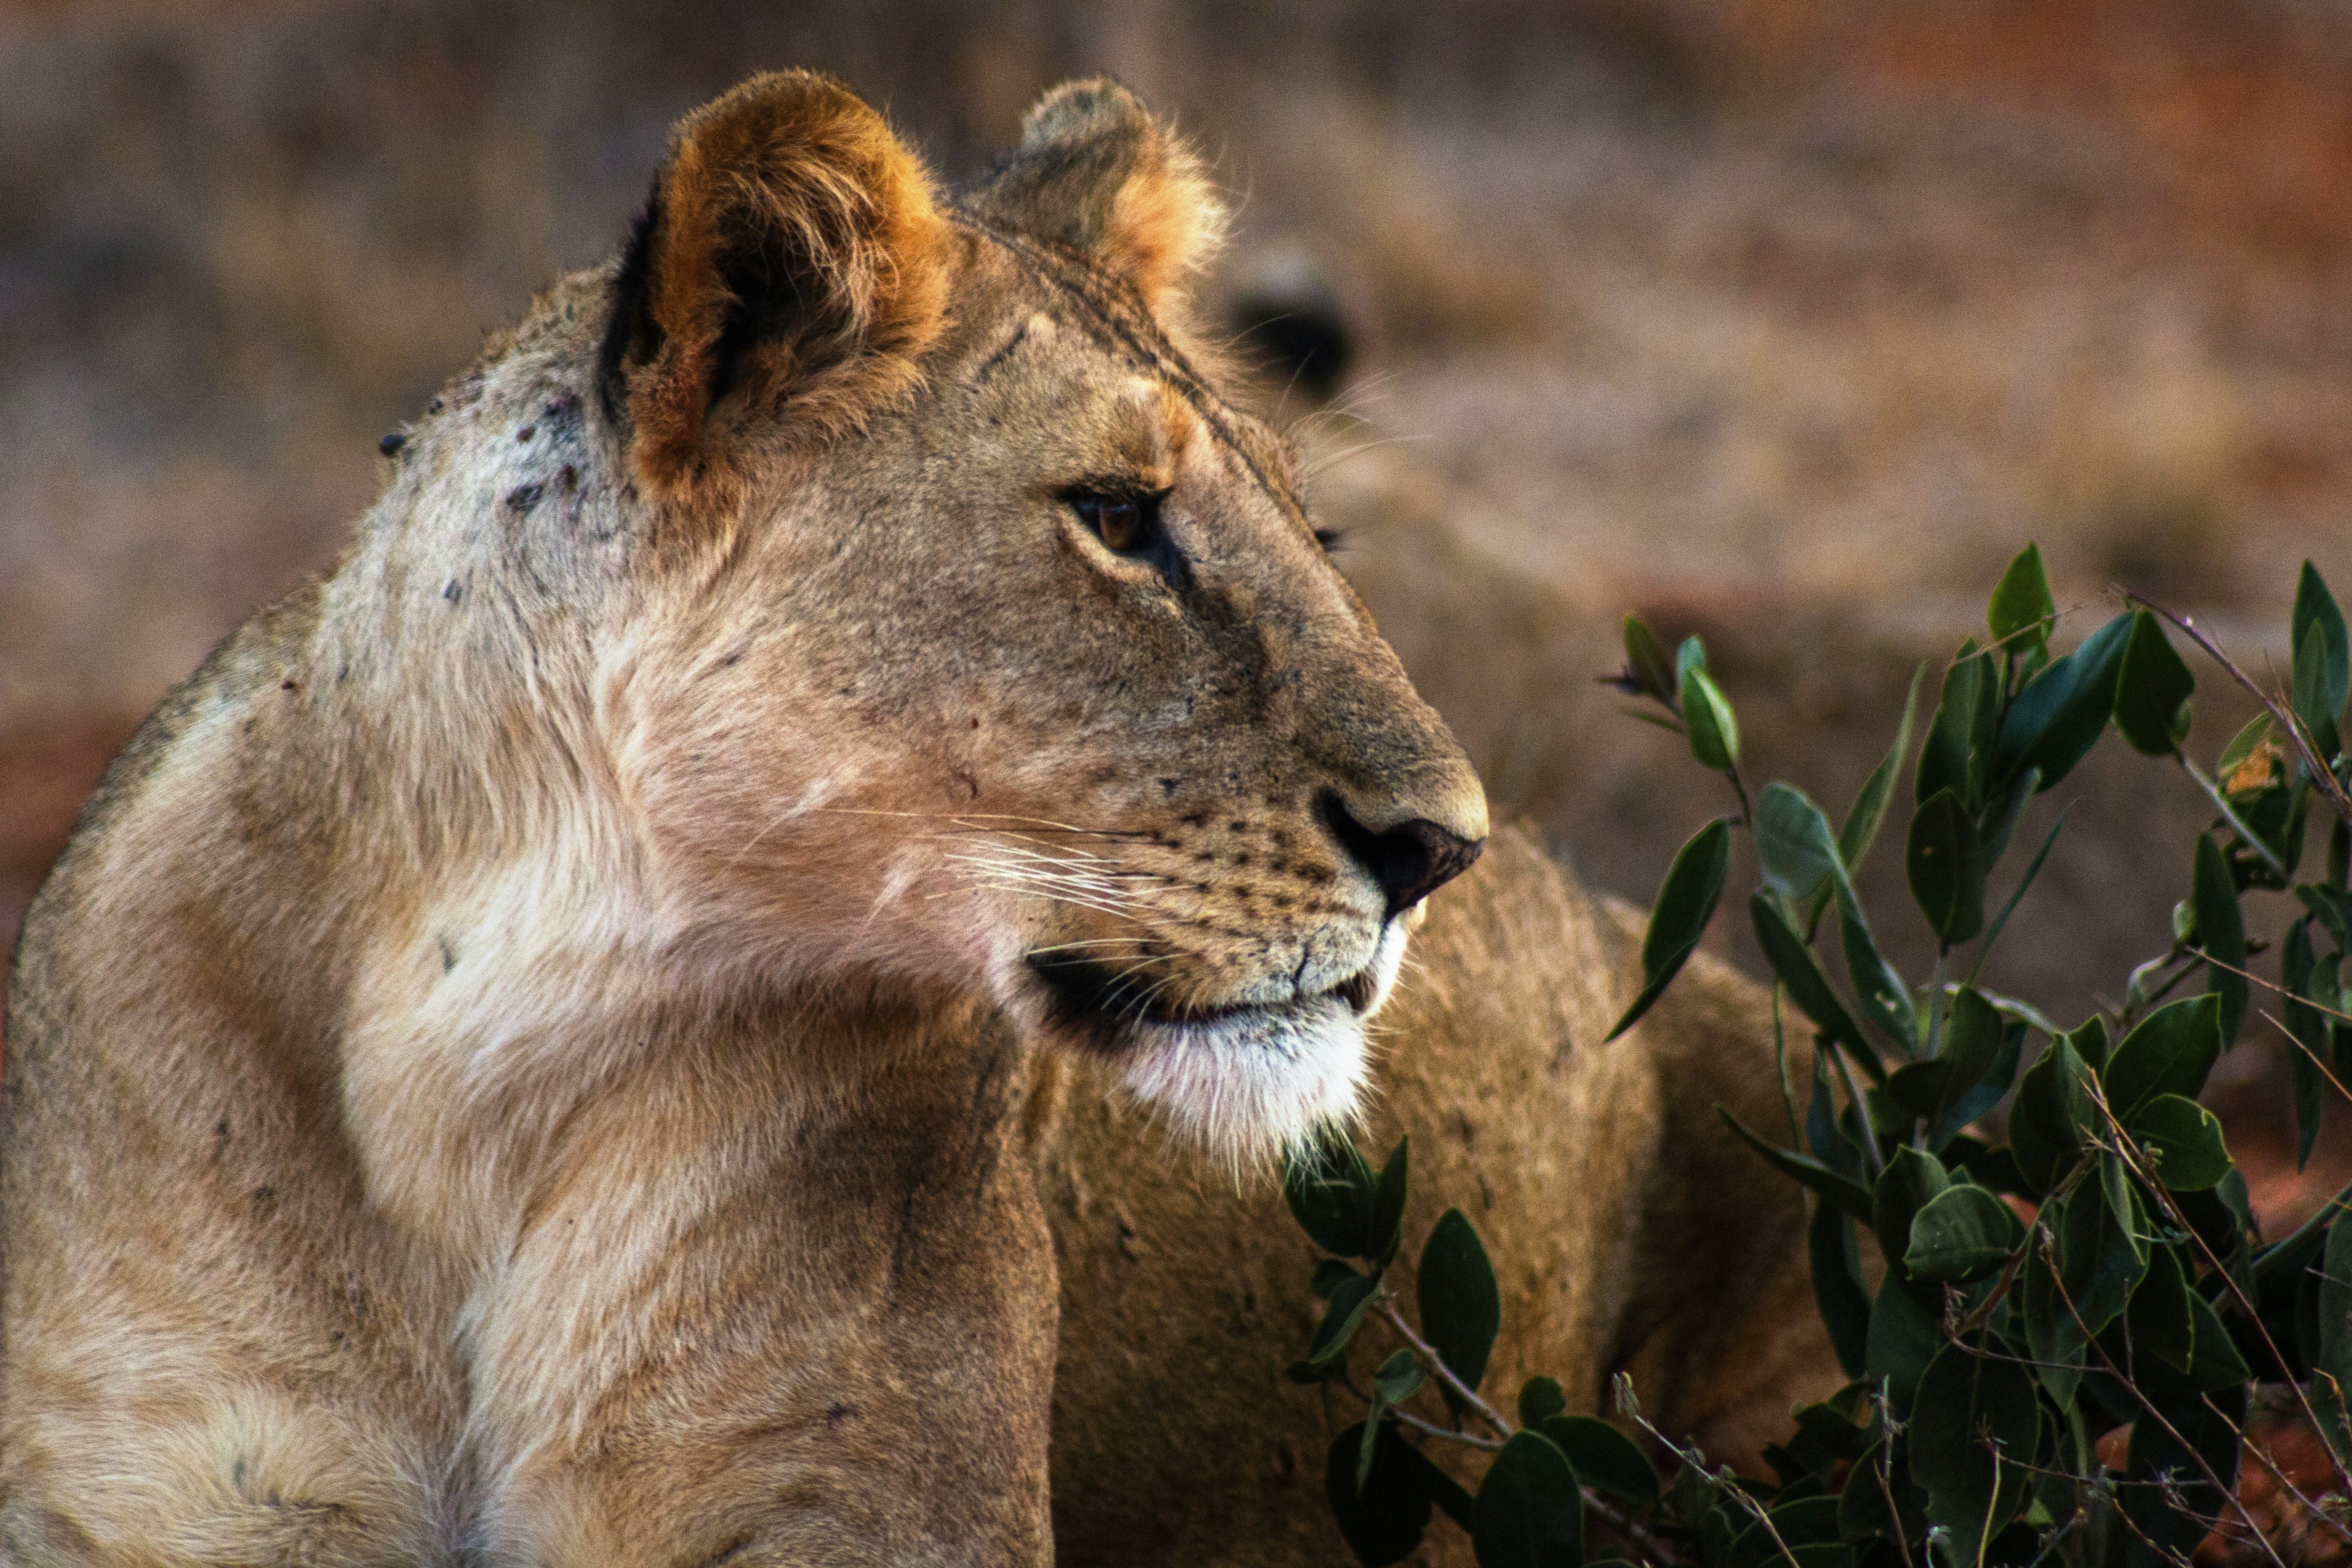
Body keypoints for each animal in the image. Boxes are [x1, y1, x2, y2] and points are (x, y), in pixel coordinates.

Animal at [0, 72, 1489, 1564]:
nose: (1442, 848)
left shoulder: (854, 1486)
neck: (473, 1058)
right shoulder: (164, 1478)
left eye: (1321, 536)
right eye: (1119, 517)